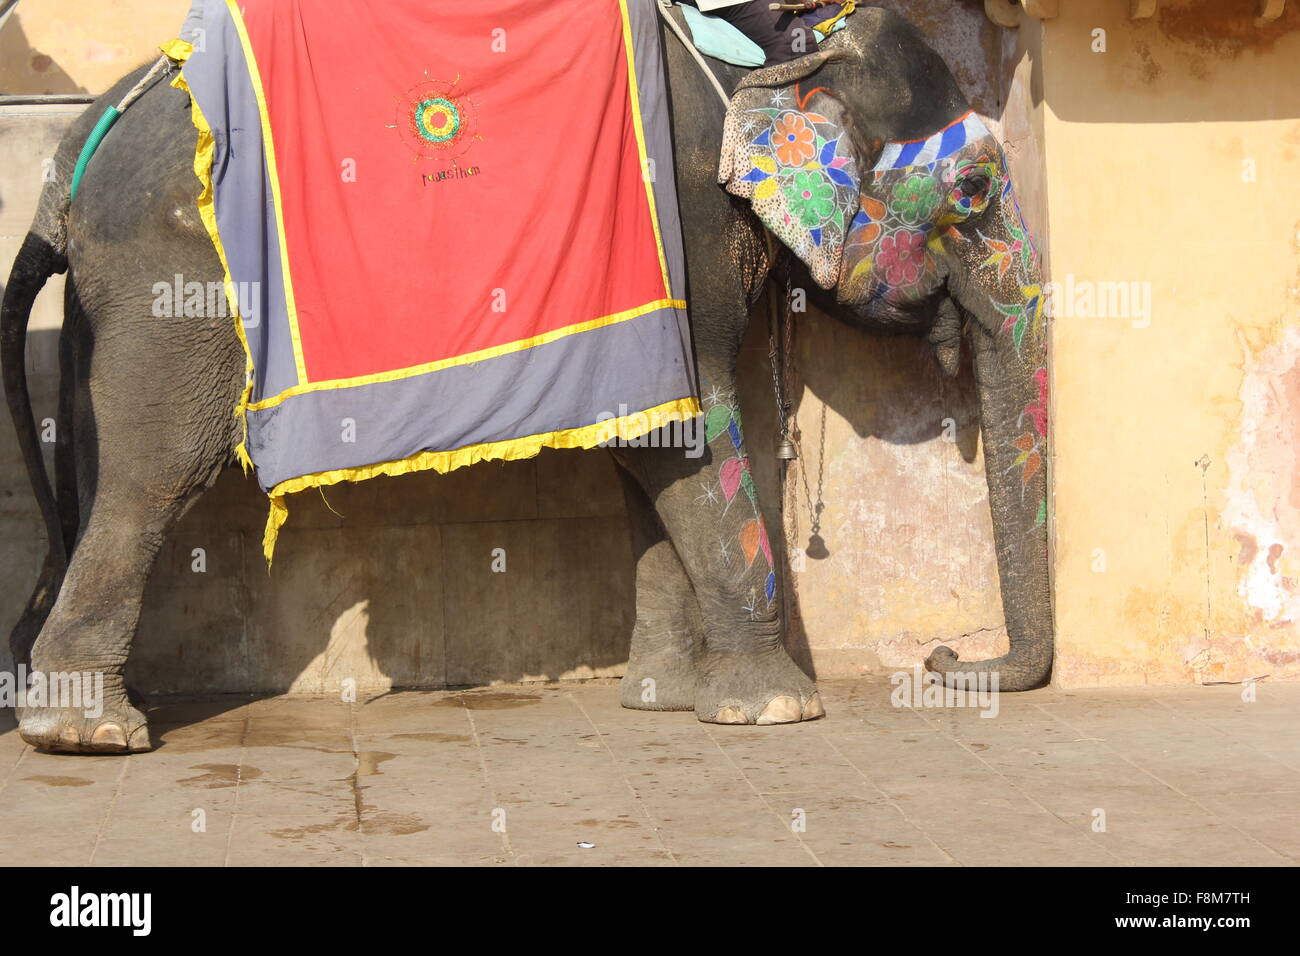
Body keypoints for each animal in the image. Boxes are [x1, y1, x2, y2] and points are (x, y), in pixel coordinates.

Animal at [1, 5, 1050, 754]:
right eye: (973, 194)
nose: (947, 653)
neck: (771, 49)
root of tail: (69, 163)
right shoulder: (682, 228)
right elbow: (688, 431)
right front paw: (776, 711)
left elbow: (650, 447)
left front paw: (664, 701)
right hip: (175, 280)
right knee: (159, 473)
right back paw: (91, 733)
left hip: (113, 300)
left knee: (104, 463)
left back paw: (87, 700)